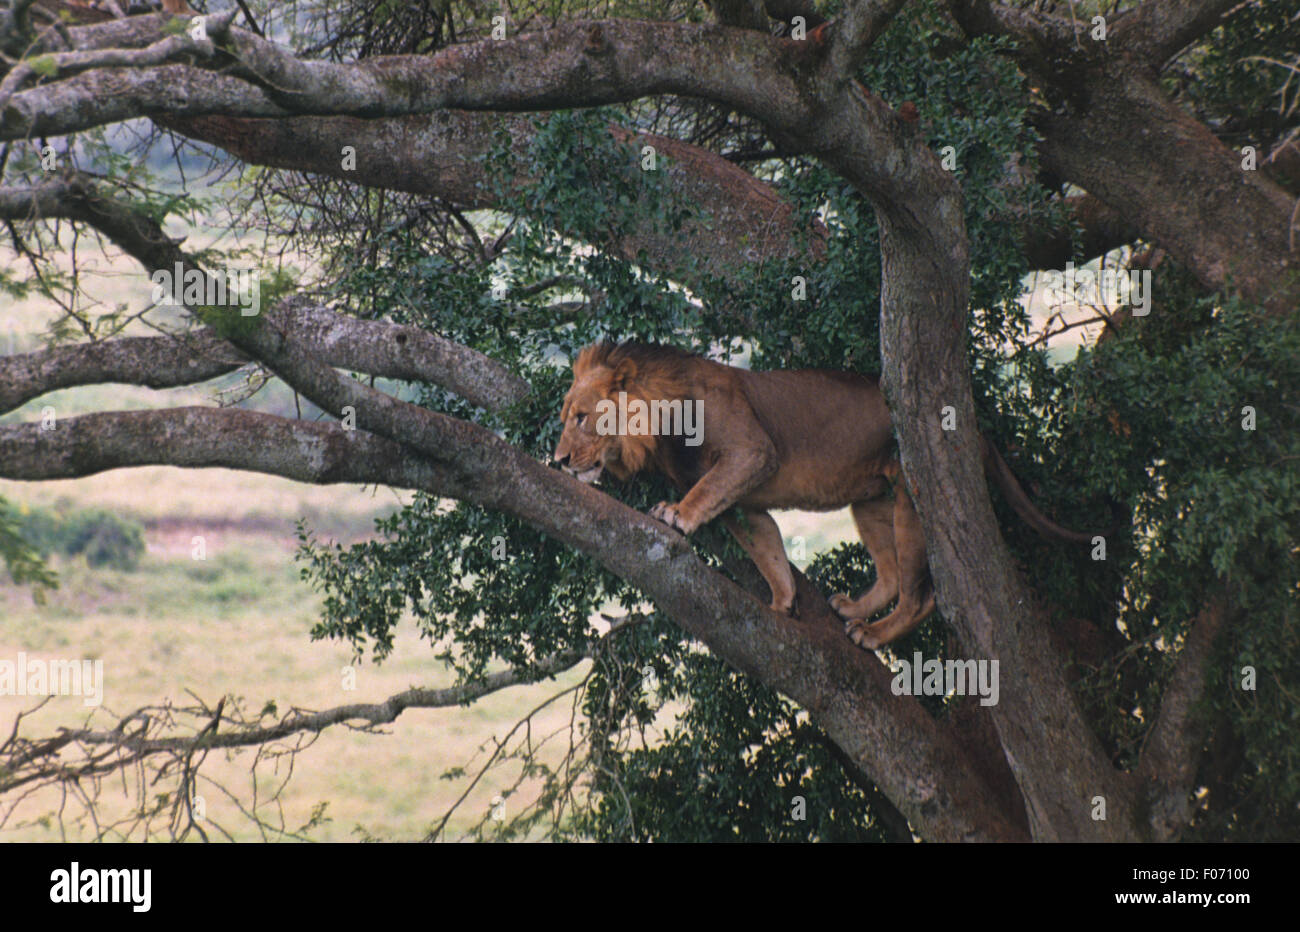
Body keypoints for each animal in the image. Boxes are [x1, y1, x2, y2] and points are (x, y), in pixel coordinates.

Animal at [553, 341, 1096, 650]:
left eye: (580, 417)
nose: (557, 461)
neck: (657, 424)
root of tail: (973, 426)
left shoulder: (752, 452)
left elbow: (707, 492)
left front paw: (675, 515)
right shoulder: (746, 503)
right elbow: (768, 549)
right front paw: (782, 604)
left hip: (912, 497)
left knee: (921, 596)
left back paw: (871, 632)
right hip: (870, 501)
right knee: (892, 576)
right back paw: (852, 610)